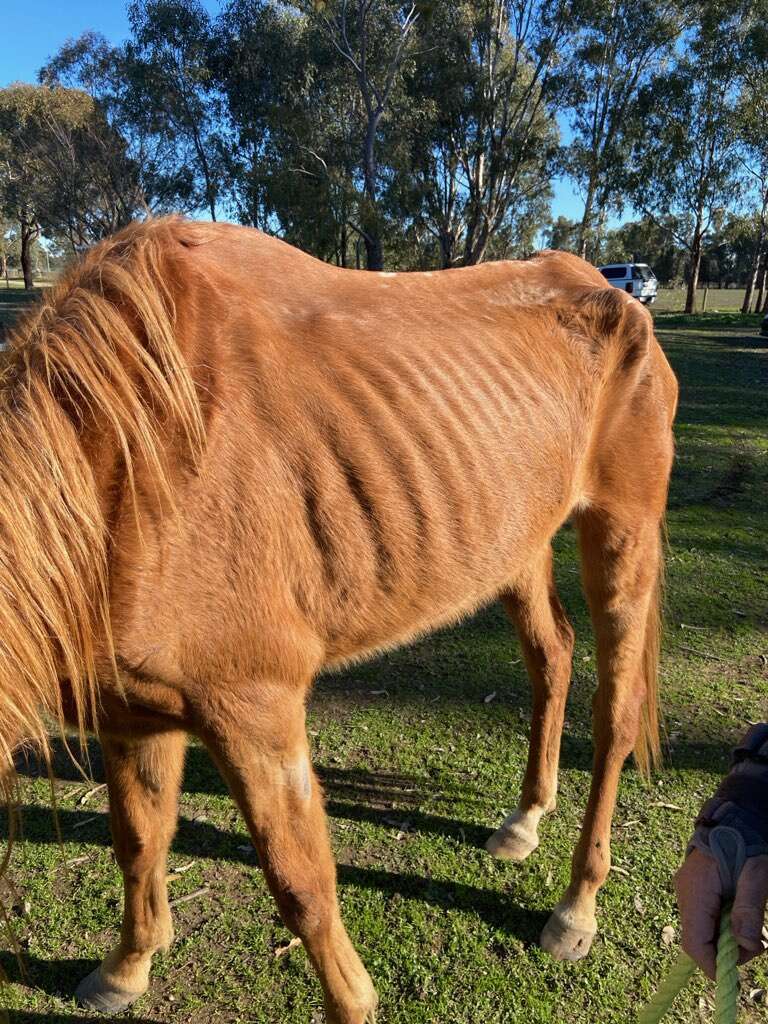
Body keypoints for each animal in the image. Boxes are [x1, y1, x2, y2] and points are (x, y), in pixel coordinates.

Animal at [0, 217, 677, 1023]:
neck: (133, 457)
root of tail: (611, 291)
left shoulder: (255, 712)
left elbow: (302, 885)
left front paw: (351, 1003)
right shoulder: (134, 711)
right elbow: (137, 841)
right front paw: (127, 967)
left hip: (621, 532)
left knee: (616, 715)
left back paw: (576, 908)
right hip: (517, 544)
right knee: (554, 657)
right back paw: (525, 820)